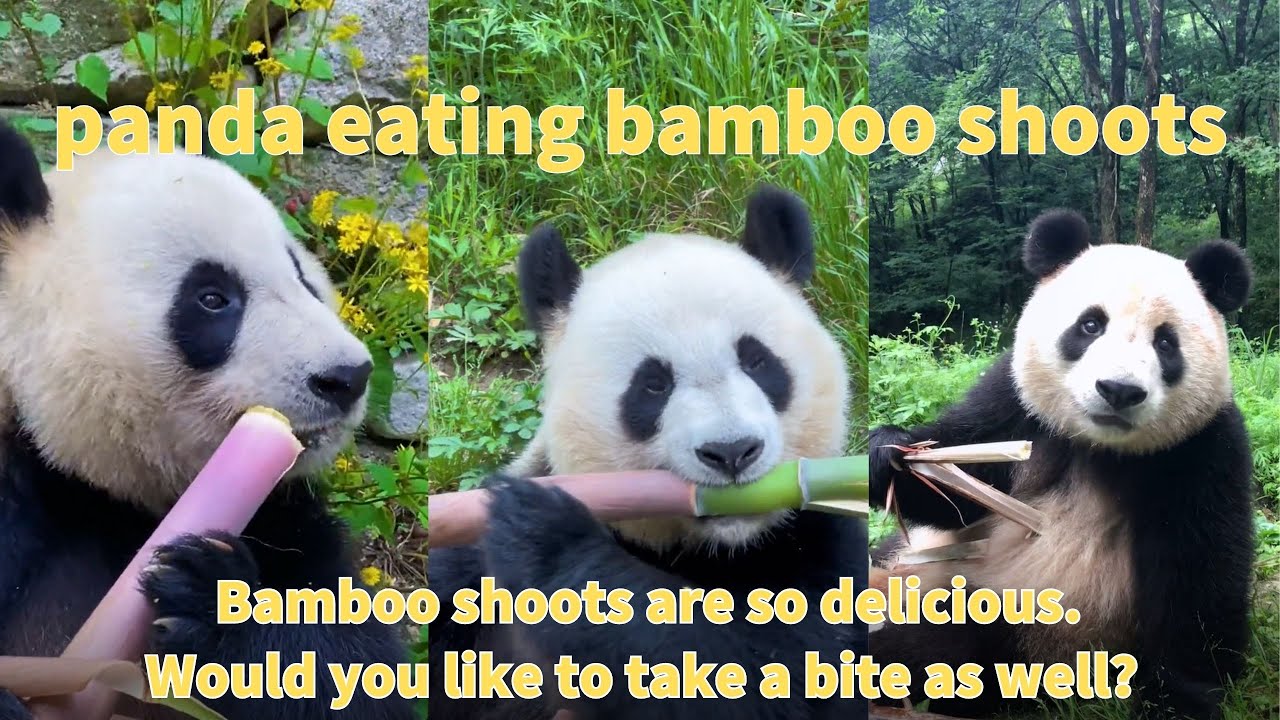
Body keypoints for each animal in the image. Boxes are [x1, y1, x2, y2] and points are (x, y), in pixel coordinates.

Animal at [0, 121, 415, 720]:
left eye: (303, 278)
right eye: (213, 298)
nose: (346, 376)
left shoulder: (285, 517)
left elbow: (357, 674)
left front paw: (215, 597)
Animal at [428, 187, 869, 720]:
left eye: (757, 361)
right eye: (653, 385)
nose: (731, 451)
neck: (720, 548)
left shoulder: (820, 543)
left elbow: (776, 681)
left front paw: (542, 529)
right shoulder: (469, 578)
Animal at [867, 209, 1255, 720]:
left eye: (1166, 343)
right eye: (1090, 325)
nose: (1118, 390)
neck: (1098, 446)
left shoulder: (1202, 449)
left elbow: (1200, 577)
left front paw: (1181, 698)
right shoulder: (1016, 406)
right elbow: (961, 492)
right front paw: (890, 455)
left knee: (946, 652)